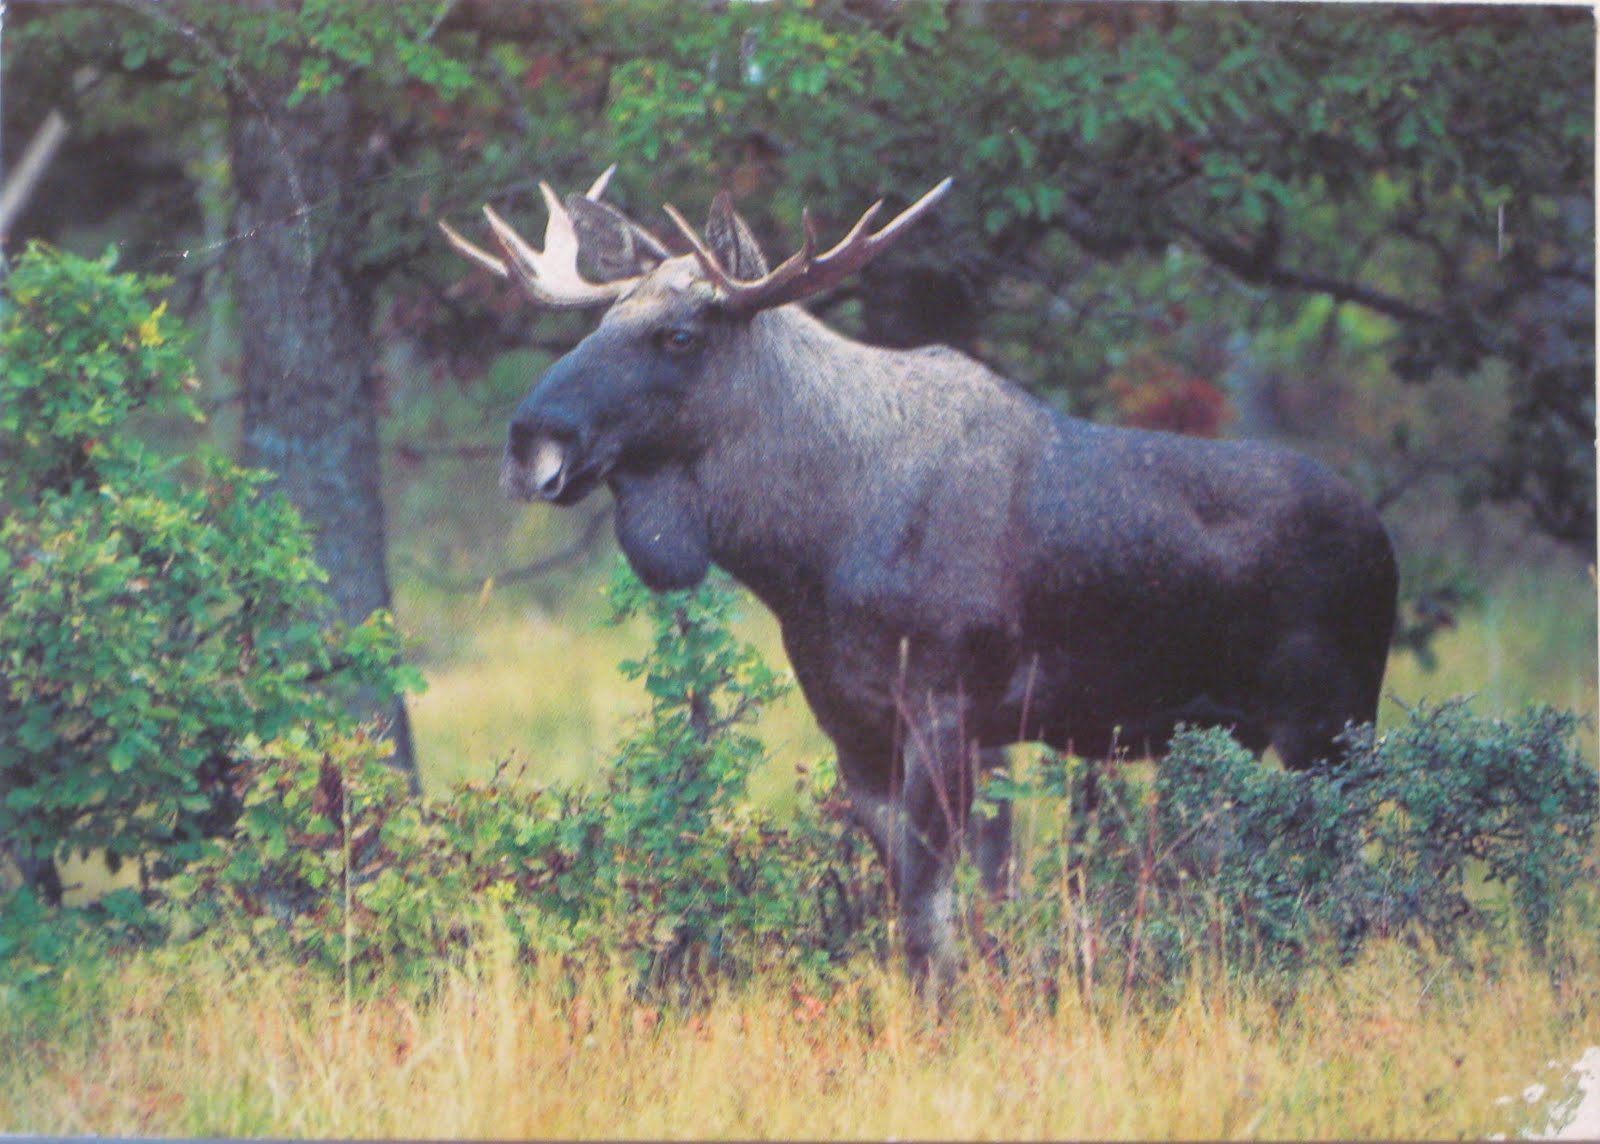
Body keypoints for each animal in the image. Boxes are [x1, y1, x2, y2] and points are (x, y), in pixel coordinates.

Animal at [441, 169, 1398, 984]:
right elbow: (908, 907)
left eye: (679, 335)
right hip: (1246, 736)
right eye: (597, 326)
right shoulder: (852, 725)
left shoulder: (947, 708)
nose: (530, 442)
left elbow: (931, 915)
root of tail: (1385, 543)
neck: (803, 549)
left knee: (1353, 876)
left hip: (1332, 722)